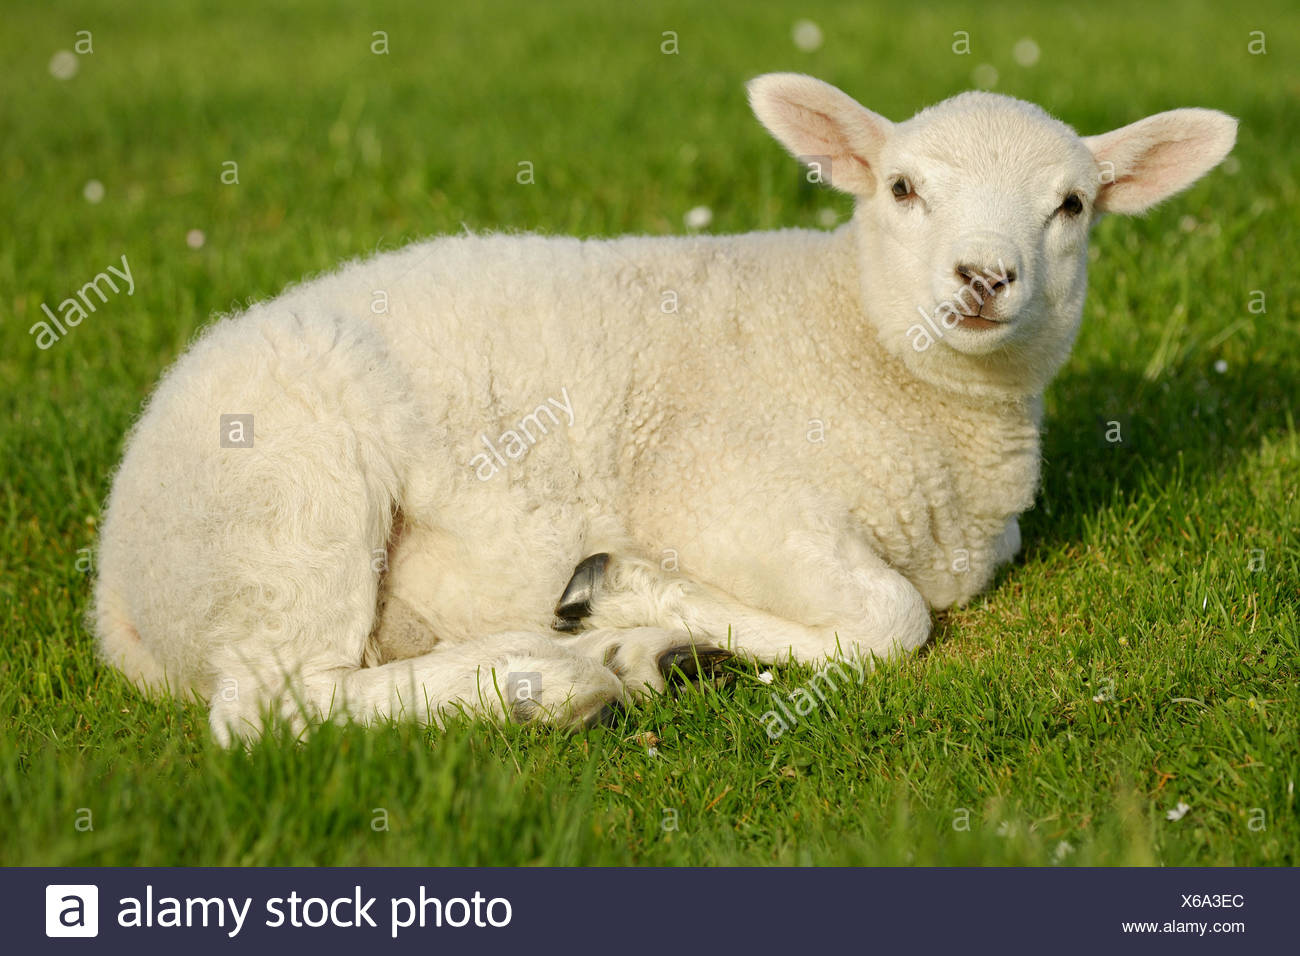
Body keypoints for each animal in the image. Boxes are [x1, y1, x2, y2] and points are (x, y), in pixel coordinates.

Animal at [93, 73, 1237, 743]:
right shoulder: (729, 500)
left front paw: (650, 629)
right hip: (287, 503)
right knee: (270, 702)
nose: (984, 278)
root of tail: (119, 596)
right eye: (903, 189)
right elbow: (890, 620)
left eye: (1072, 205)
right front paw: (624, 597)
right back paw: (544, 678)